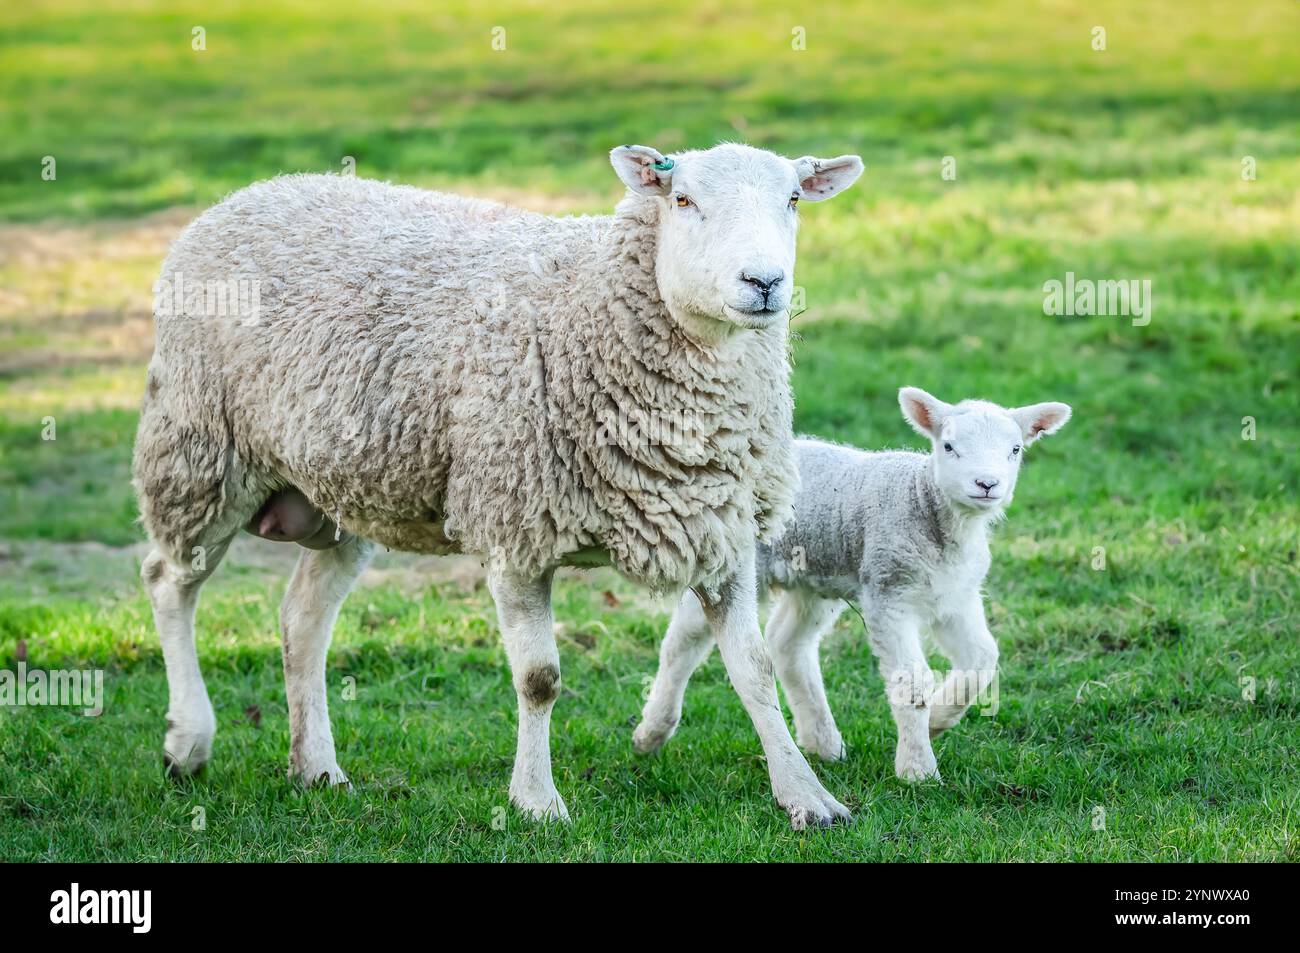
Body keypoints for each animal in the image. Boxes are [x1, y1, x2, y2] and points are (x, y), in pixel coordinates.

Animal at [133, 142, 864, 829]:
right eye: (682, 199)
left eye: (794, 199)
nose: (763, 281)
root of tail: (248, 194)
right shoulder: (515, 523)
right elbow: (539, 680)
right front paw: (537, 801)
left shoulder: (721, 529)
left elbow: (753, 669)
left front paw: (806, 796)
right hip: (201, 453)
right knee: (169, 583)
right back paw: (186, 743)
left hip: (347, 487)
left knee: (302, 618)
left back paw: (315, 766)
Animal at [635, 387, 1071, 782]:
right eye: (948, 447)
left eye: (1015, 449)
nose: (987, 484)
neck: (929, 507)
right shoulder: (888, 594)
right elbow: (912, 679)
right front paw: (917, 770)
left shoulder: (955, 599)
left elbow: (982, 659)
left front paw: (939, 718)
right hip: (731, 564)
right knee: (683, 642)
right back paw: (652, 732)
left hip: (815, 575)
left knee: (787, 643)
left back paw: (822, 743)